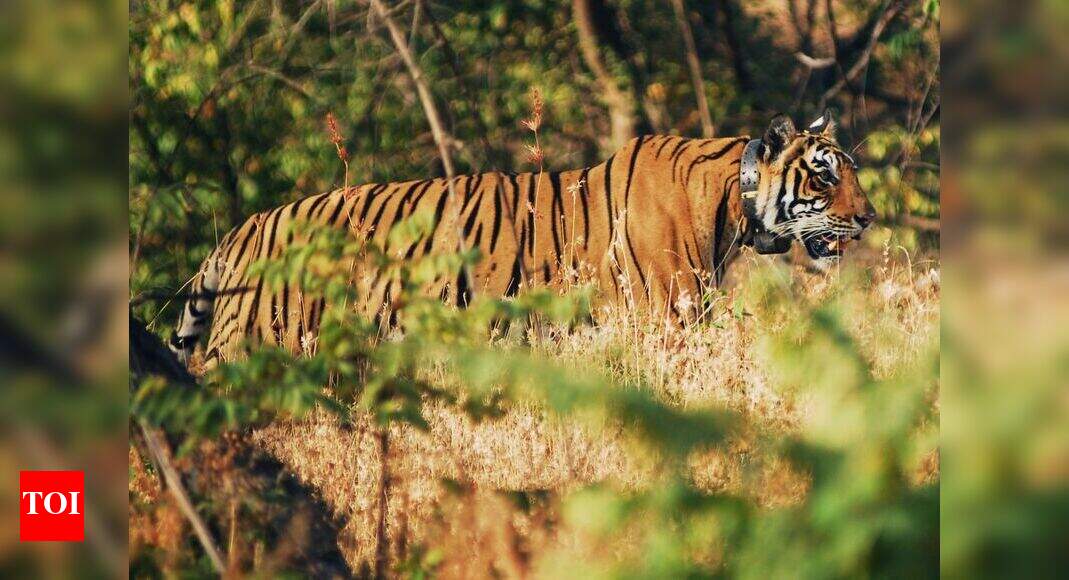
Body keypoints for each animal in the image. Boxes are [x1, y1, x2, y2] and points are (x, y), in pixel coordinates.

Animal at [169, 110, 875, 366]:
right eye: (825, 173)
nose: (869, 218)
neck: (735, 204)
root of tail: (243, 228)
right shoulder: (665, 319)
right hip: (253, 347)